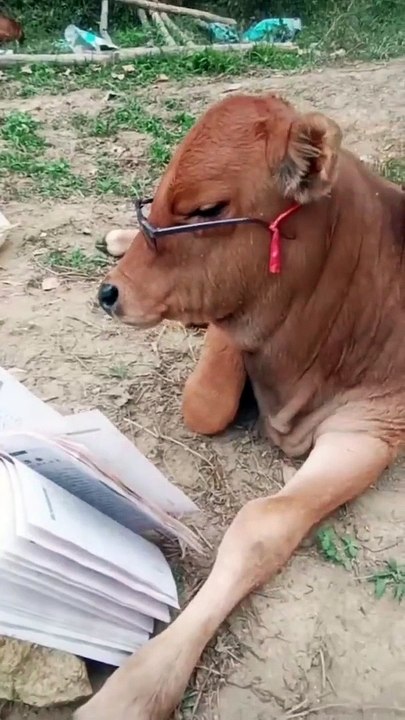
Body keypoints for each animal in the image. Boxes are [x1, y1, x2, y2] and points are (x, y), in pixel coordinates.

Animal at [75, 93, 405, 720]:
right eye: (156, 197)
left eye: (207, 209)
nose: (109, 293)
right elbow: (204, 405)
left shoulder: (373, 428)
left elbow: (261, 525)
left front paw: (136, 686)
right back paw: (116, 237)